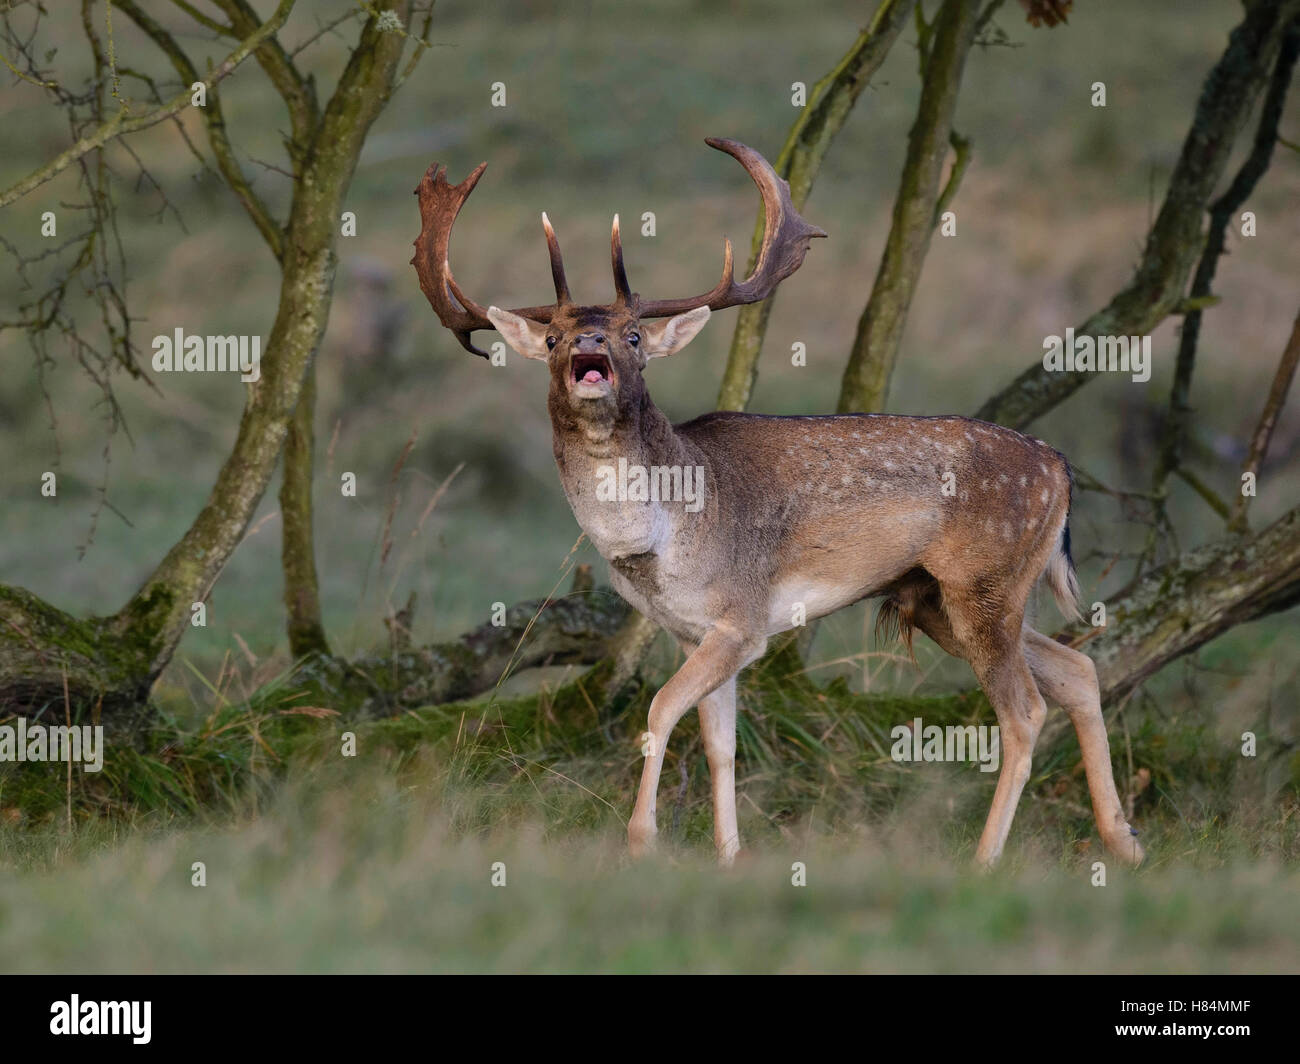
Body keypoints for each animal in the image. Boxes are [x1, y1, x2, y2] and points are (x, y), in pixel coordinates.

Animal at [412, 137, 1144, 870]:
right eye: (554, 340)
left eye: (633, 337)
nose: (590, 346)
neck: (661, 536)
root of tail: (1061, 470)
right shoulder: (691, 630)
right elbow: (720, 742)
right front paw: (729, 854)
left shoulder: (743, 616)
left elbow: (659, 711)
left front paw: (642, 840)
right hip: (943, 598)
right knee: (1078, 668)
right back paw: (1124, 841)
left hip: (984, 580)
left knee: (1025, 711)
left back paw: (987, 859)